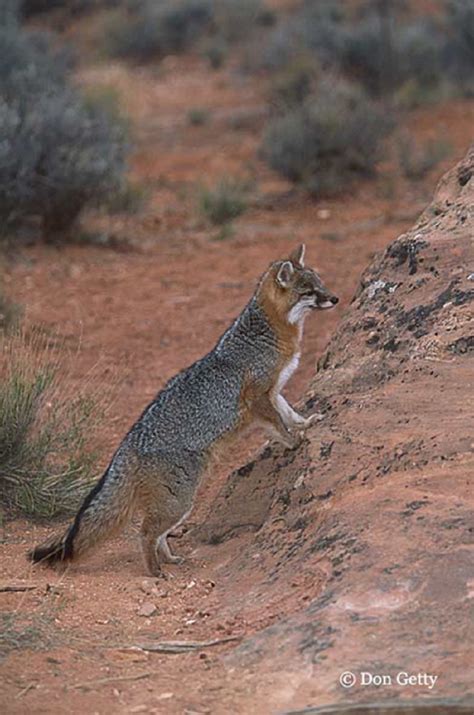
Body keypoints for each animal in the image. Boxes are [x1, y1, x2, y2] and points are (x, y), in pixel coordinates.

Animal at [29, 244, 338, 575]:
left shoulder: (274, 391)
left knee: (157, 533)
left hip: (177, 501)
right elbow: (279, 424)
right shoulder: (257, 398)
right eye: (309, 291)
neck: (268, 335)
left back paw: (169, 559)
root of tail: (127, 445)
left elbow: (290, 414)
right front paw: (294, 441)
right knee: (145, 532)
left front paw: (307, 423)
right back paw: (155, 571)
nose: (335, 298)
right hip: (181, 501)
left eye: (321, 283)